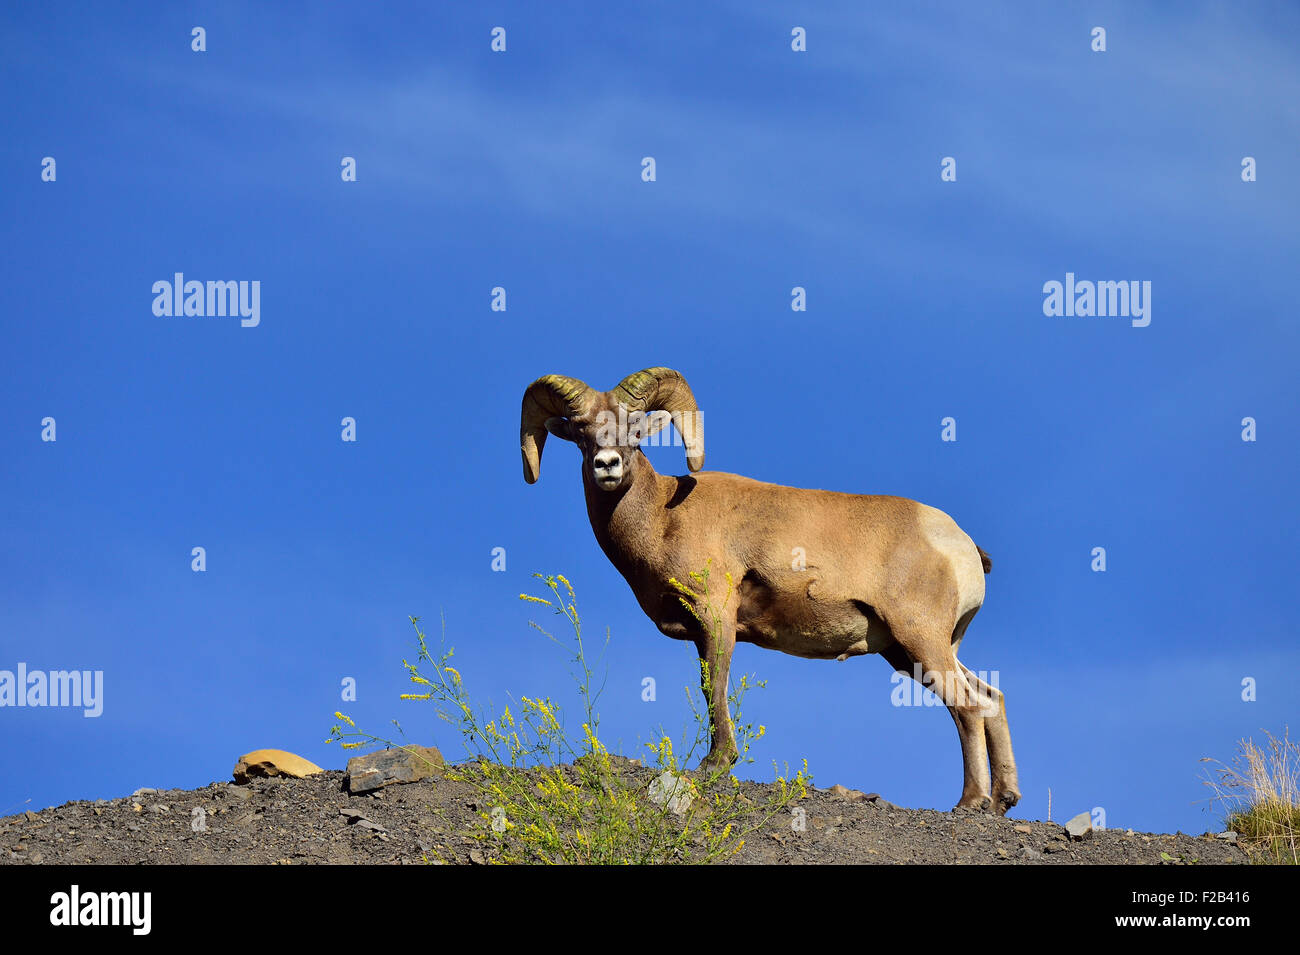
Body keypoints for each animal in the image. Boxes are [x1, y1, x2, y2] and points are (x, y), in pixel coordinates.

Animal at [520, 366, 1021, 814]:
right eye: (581, 432)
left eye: (637, 430)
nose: (607, 465)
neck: (663, 517)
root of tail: (959, 543)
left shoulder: (716, 617)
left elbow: (713, 686)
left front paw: (717, 764)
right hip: (911, 650)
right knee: (989, 699)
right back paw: (1001, 801)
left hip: (921, 639)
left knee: (968, 706)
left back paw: (970, 802)